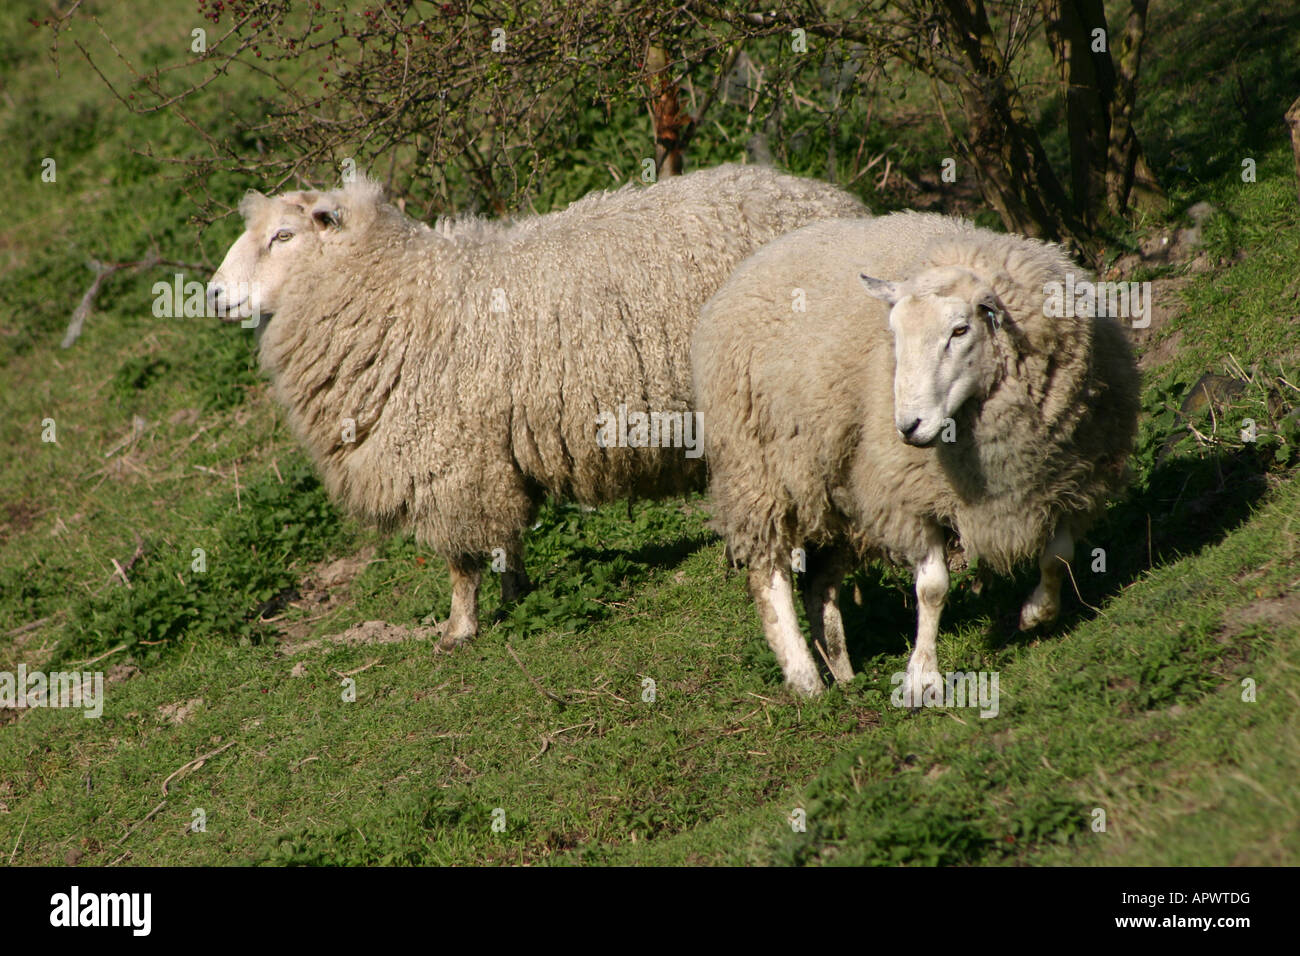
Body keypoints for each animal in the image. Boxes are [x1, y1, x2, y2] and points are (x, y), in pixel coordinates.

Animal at [207, 165, 866, 648]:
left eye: (284, 236)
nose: (212, 295)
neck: (403, 290)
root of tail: (842, 204)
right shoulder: (490, 458)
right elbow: (507, 542)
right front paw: (516, 595)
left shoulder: (453, 462)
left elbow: (463, 561)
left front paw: (459, 631)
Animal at [691, 211, 1140, 698]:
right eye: (893, 334)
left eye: (960, 330)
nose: (908, 426)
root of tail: (760, 256)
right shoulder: (908, 492)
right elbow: (933, 588)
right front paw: (922, 677)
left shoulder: (1073, 479)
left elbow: (1058, 555)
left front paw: (1035, 614)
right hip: (756, 472)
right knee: (769, 572)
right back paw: (806, 681)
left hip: (837, 485)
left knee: (820, 585)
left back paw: (844, 676)